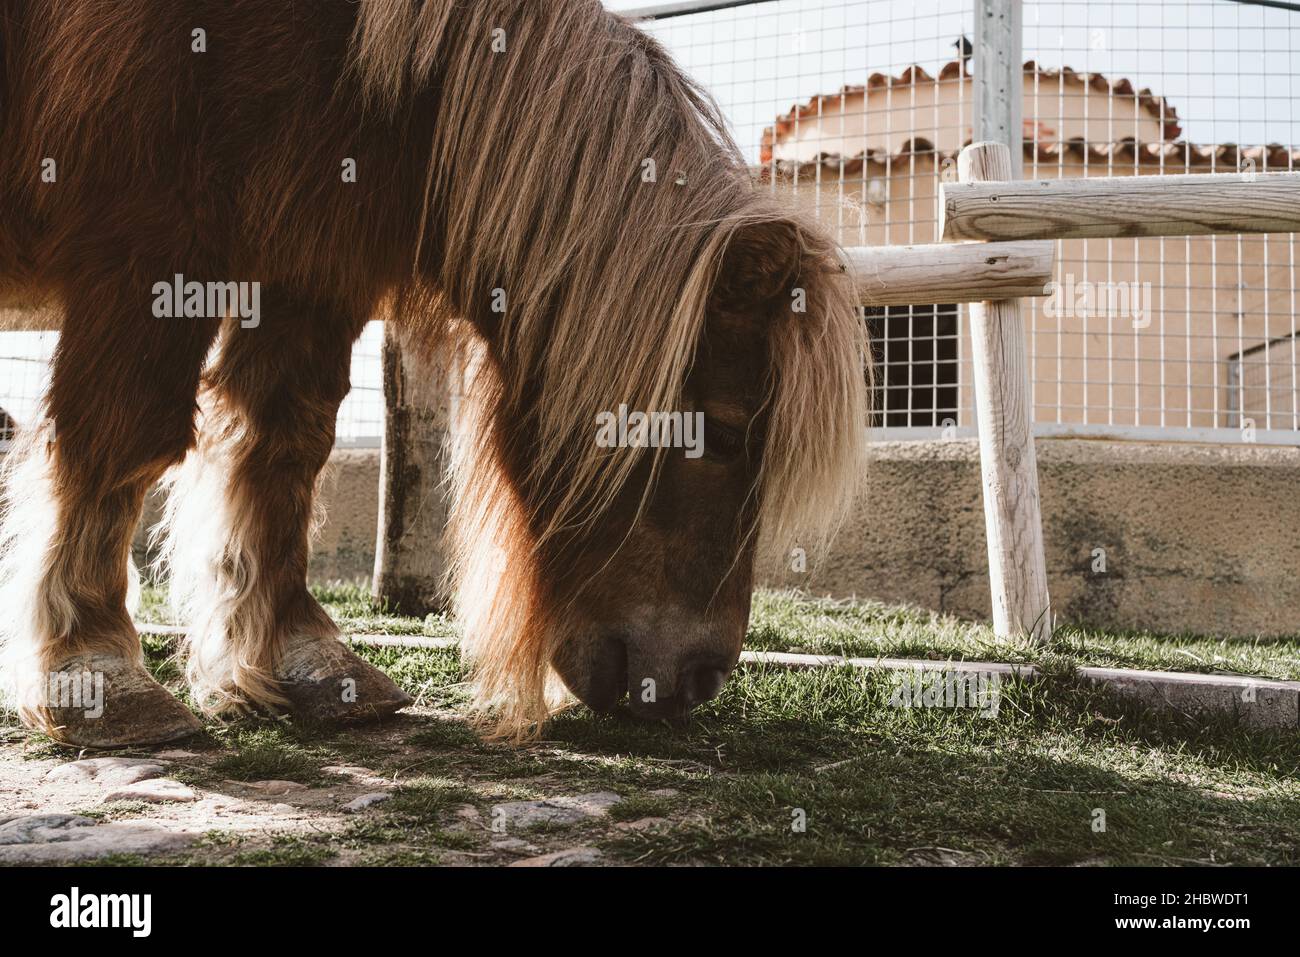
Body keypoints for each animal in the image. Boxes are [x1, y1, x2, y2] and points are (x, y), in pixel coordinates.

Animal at [0, 0, 867, 746]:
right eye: (719, 431)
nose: (699, 676)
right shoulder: (149, 246)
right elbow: (126, 437)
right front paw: (97, 673)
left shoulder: (307, 269)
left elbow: (282, 450)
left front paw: (304, 661)